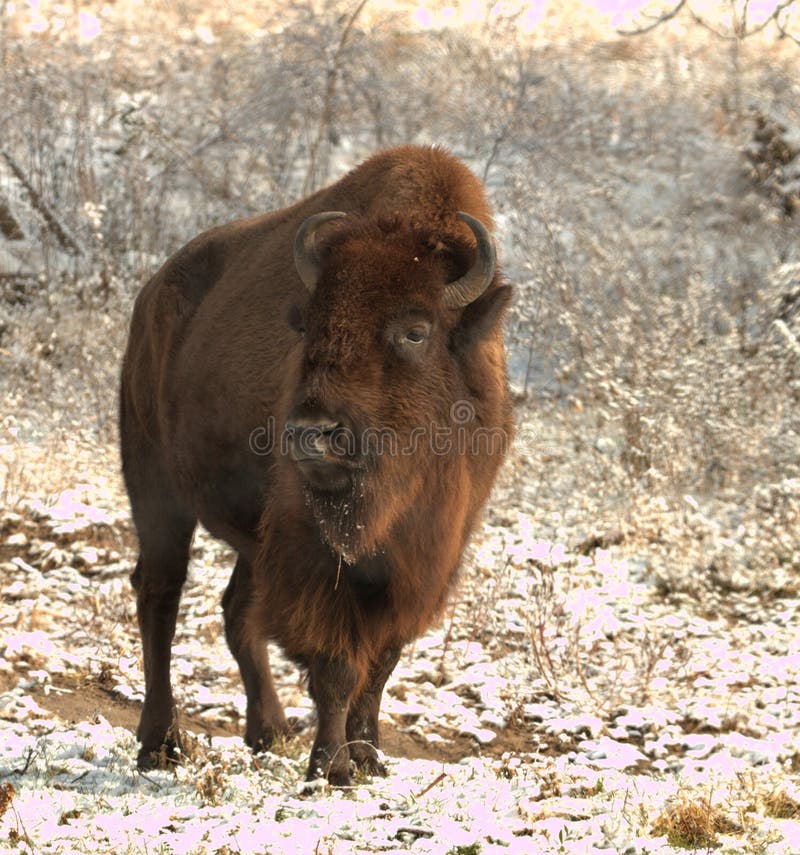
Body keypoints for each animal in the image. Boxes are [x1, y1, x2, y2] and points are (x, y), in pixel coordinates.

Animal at [119, 145, 512, 786]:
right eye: (308, 326)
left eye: (415, 331)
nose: (312, 435)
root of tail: (151, 296)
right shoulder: (316, 555)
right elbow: (337, 664)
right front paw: (331, 767)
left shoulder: (423, 559)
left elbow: (381, 662)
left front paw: (369, 758)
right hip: (154, 488)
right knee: (160, 594)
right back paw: (160, 744)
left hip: (249, 538)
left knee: (235, 610)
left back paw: (270, 731)